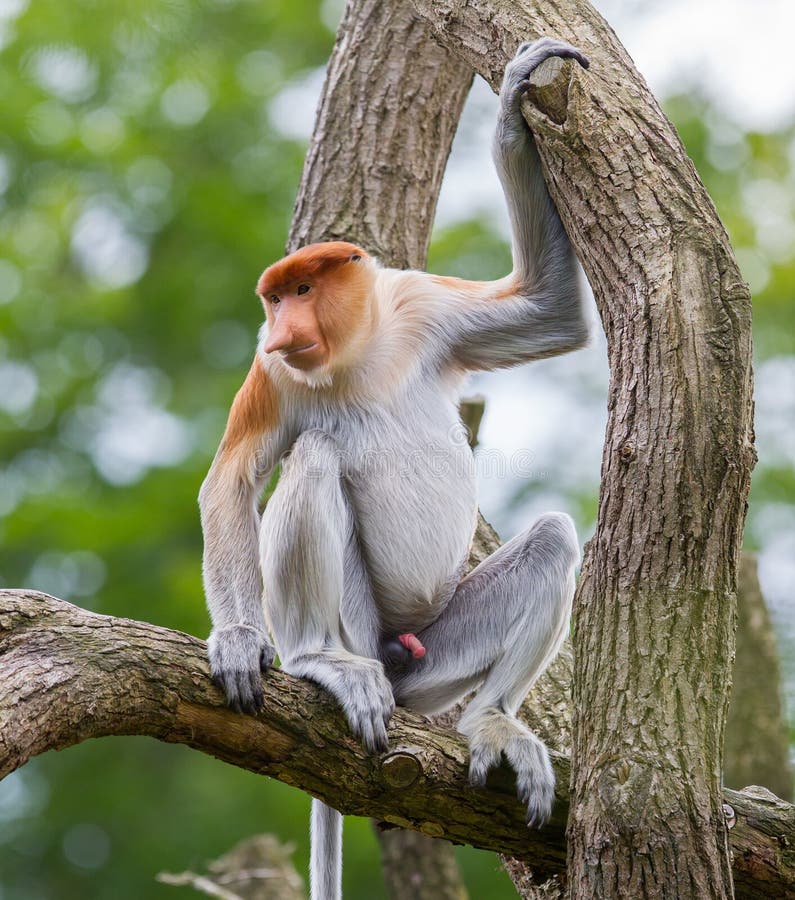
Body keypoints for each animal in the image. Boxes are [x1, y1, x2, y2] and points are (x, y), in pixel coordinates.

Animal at [199, 37, 590, 900]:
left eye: (302, 287)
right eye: (274, 301)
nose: (283, 326)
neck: (357, 348)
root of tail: (393, 654)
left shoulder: (421, 306)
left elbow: (550, 312)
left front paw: (512, 106)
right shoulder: (269, 371)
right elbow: (231, 482)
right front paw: (238, 641)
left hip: (435, 660)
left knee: (551, 539)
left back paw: (491, 721)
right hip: (359, 621)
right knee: (314, 459)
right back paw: (319, 662)